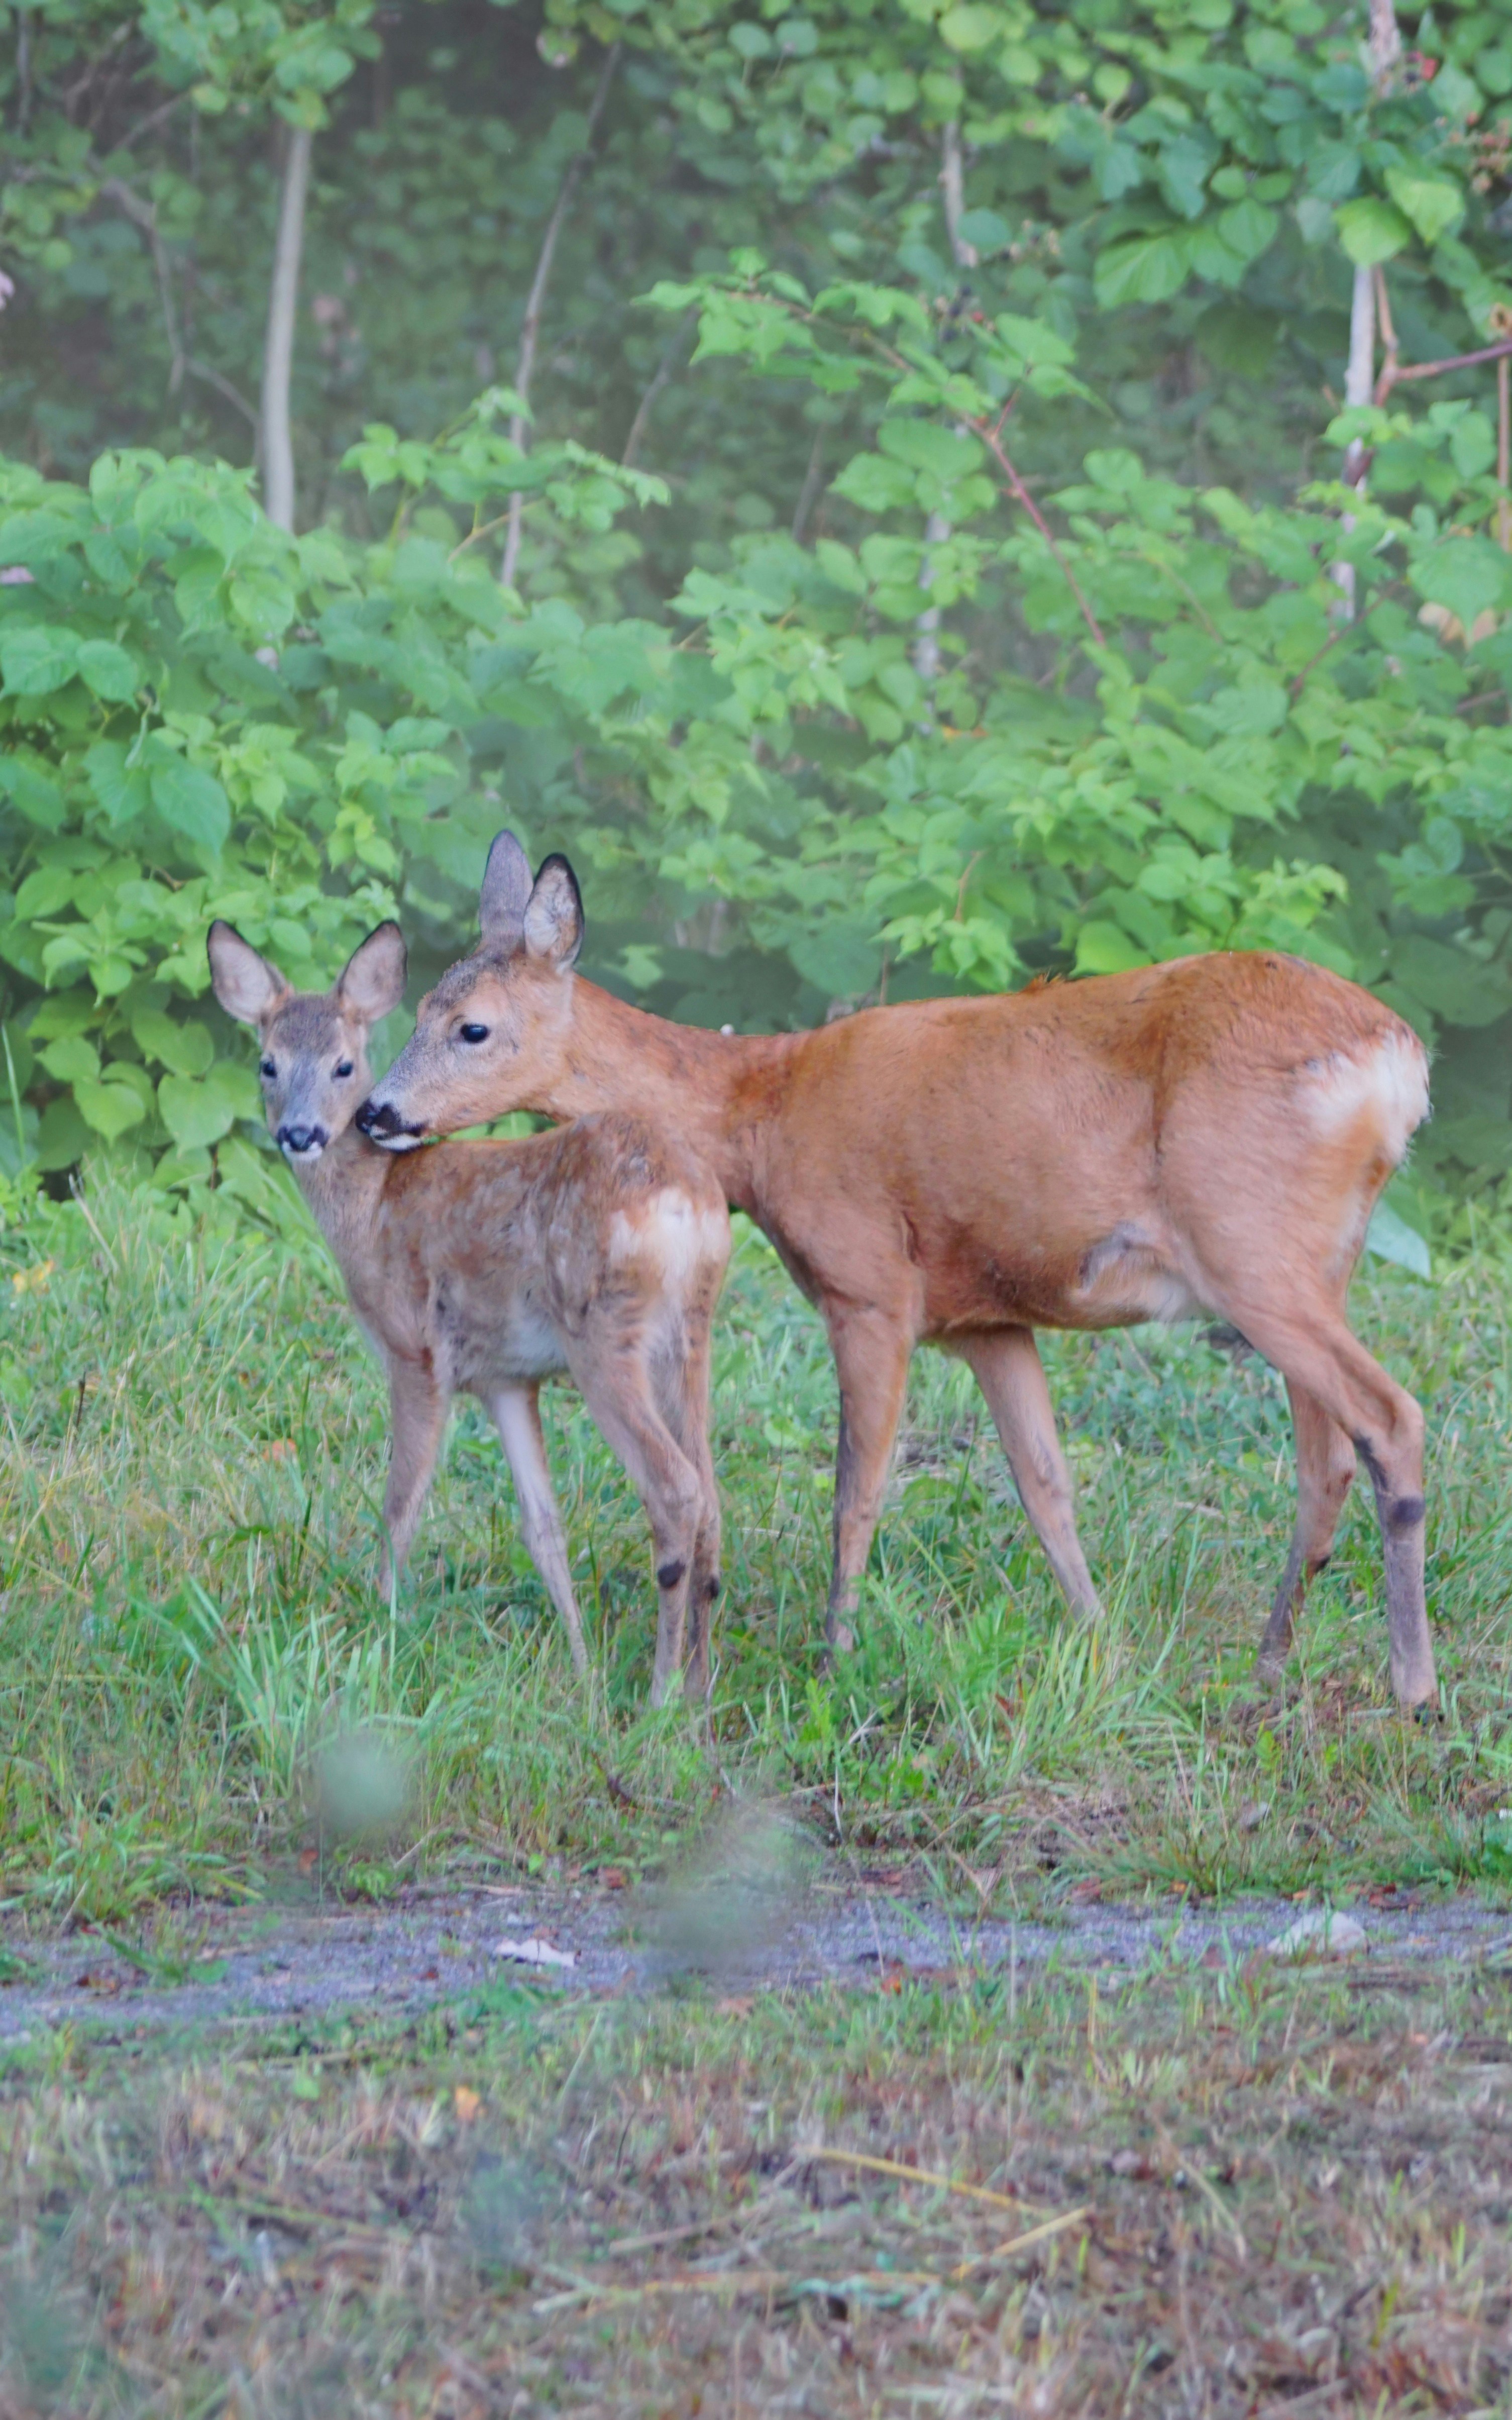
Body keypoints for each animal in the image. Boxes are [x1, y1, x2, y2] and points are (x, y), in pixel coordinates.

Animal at [207, 917, 729, 1707]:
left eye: (343, 1066)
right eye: (268, 1064)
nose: (300, 1134)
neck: (374, 1204)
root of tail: (684, 1203)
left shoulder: (415, 1351)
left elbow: (401, 1502)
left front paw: (382, 1627)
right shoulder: (504, 1378)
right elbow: (542, 1525)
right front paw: (580, 1669)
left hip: (604, 1334)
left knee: (674, 1487)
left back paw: (661, 1694)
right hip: (689, 1334)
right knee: (711, 1492)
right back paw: (698, 1686)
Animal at [356, 833, 1438, 1712]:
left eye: (472, 1026)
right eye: (419, 1005)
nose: (374, 1111)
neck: (762, 1115)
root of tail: (1395, 1059)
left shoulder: (867, 1282)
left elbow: (856, 1486)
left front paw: (833, 1656)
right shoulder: (987, 1319)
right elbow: (1044, 1484)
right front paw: (1100, 1644)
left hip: (1248, 1239)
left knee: (1388, 1417)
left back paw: (1413, 1685)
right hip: (1313, 1257)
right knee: (1327, 1456)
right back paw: (1265, 1667)